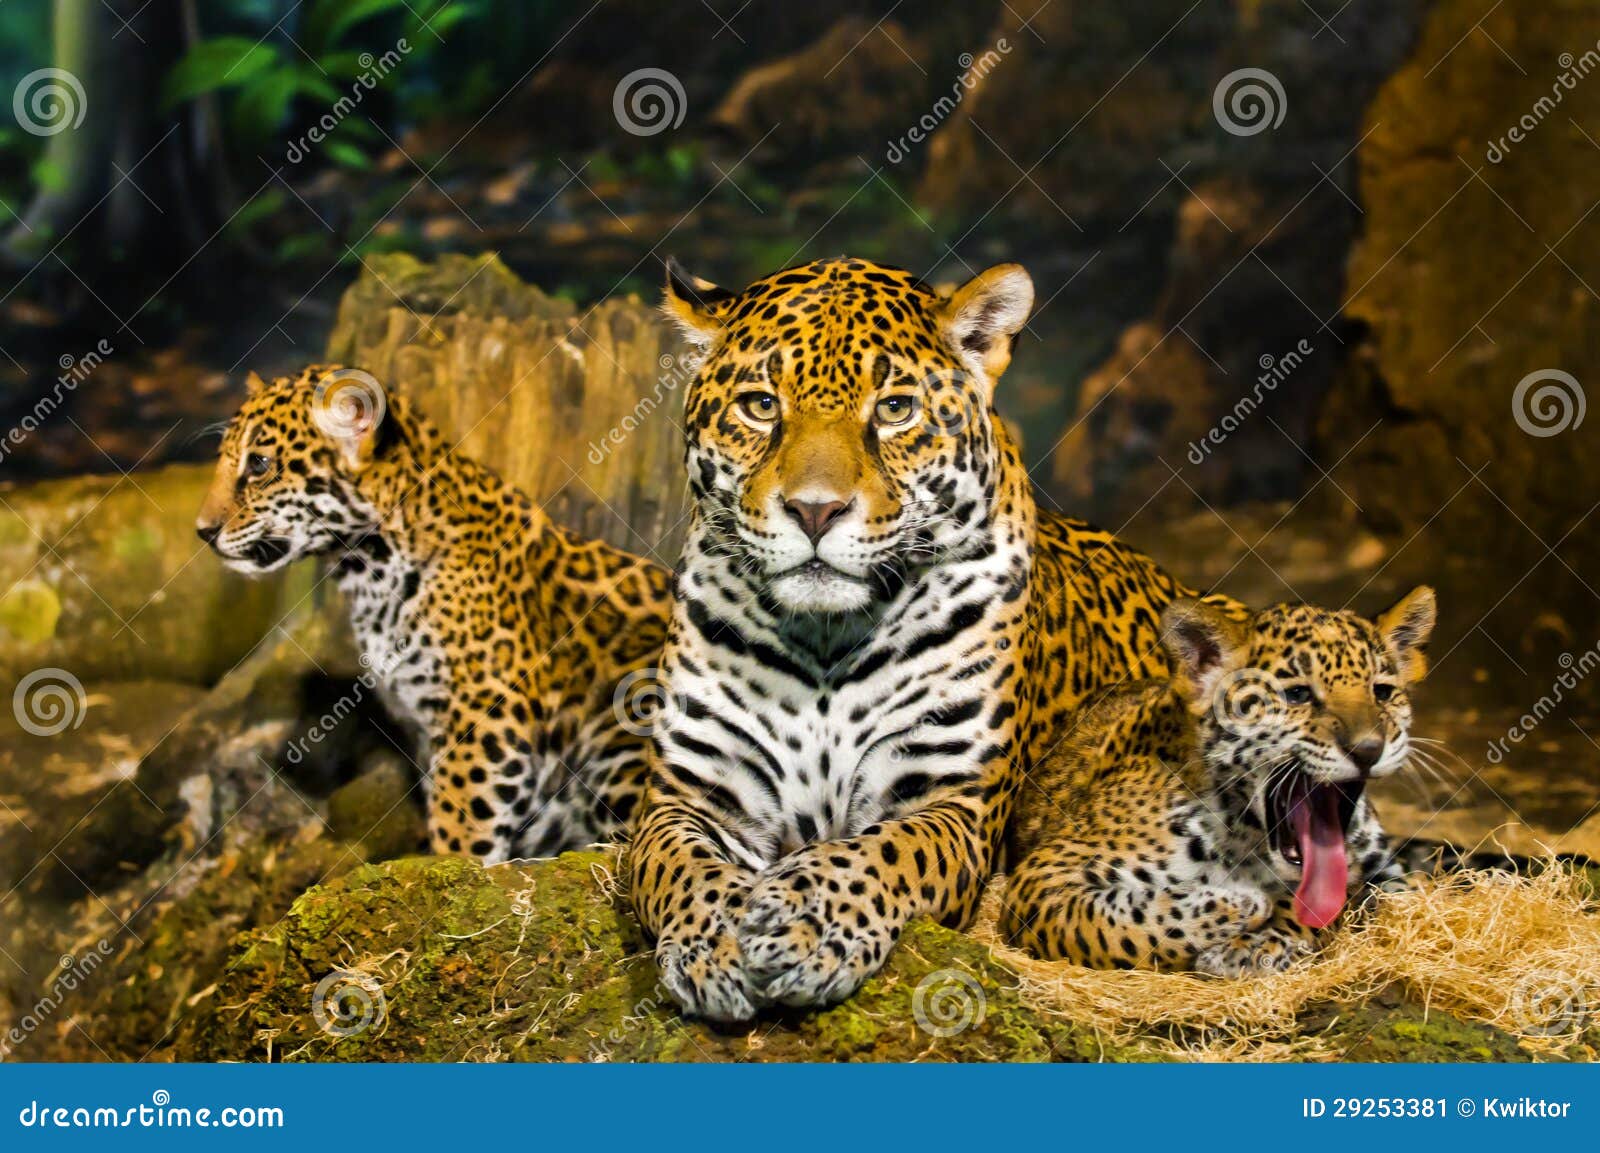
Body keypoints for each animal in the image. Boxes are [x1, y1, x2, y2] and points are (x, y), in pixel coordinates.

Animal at [196, 364, 672, 863]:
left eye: (259, 465)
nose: (203, 531)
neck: (367, 570)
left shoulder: (485, 716)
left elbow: (462, 820)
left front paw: (450, 869)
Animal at [628, 255, 1228, 1023]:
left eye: (894, 410)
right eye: (761, 405)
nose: (815, 511)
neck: (825, 637)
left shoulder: (951, 801)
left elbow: (877, 853)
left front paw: (804, 923)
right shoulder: (688, 796)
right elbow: (680, 867)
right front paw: (714, 943)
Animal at [1000, 587, 1437, 974]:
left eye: (1382, 692)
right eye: (1297, 695)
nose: (1368, 749)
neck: (1246, 841)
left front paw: (1256, 943)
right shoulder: (1046, 874)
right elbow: (1117, 926)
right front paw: (1239, 905)